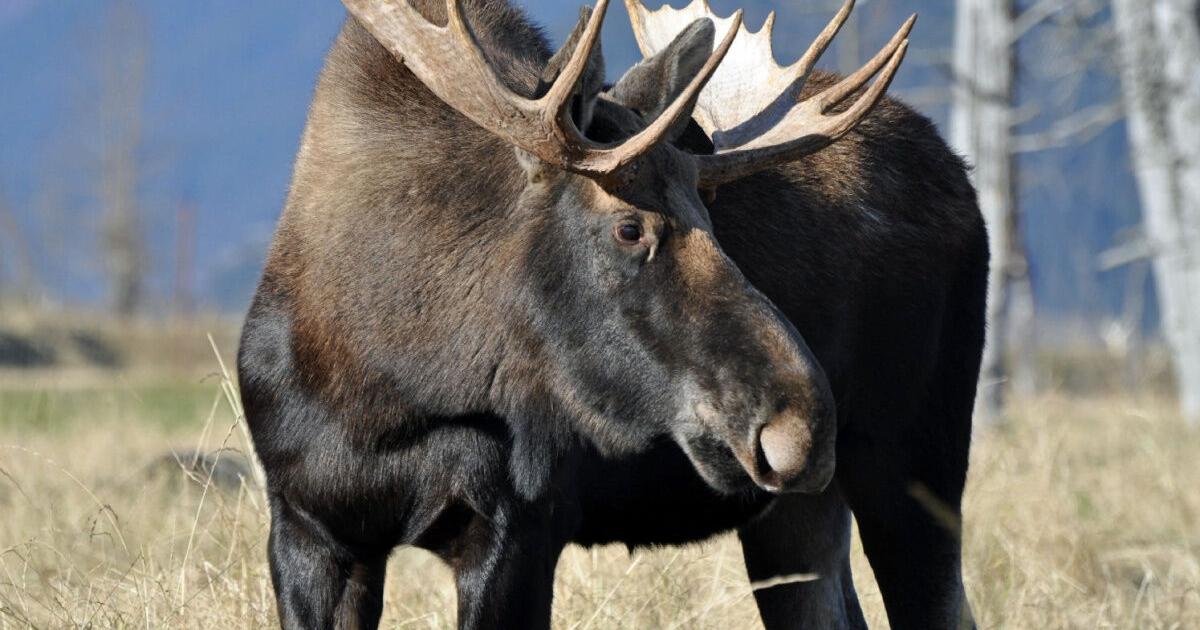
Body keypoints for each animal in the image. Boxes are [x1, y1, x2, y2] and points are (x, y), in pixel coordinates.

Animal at [236, 0, 987, 628]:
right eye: (630, 227)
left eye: (712, 211)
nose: (803, 422)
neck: (383, 394)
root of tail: (961, 174)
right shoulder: (307, 532)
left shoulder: (518, 528)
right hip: (797, 512)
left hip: (914, 461)